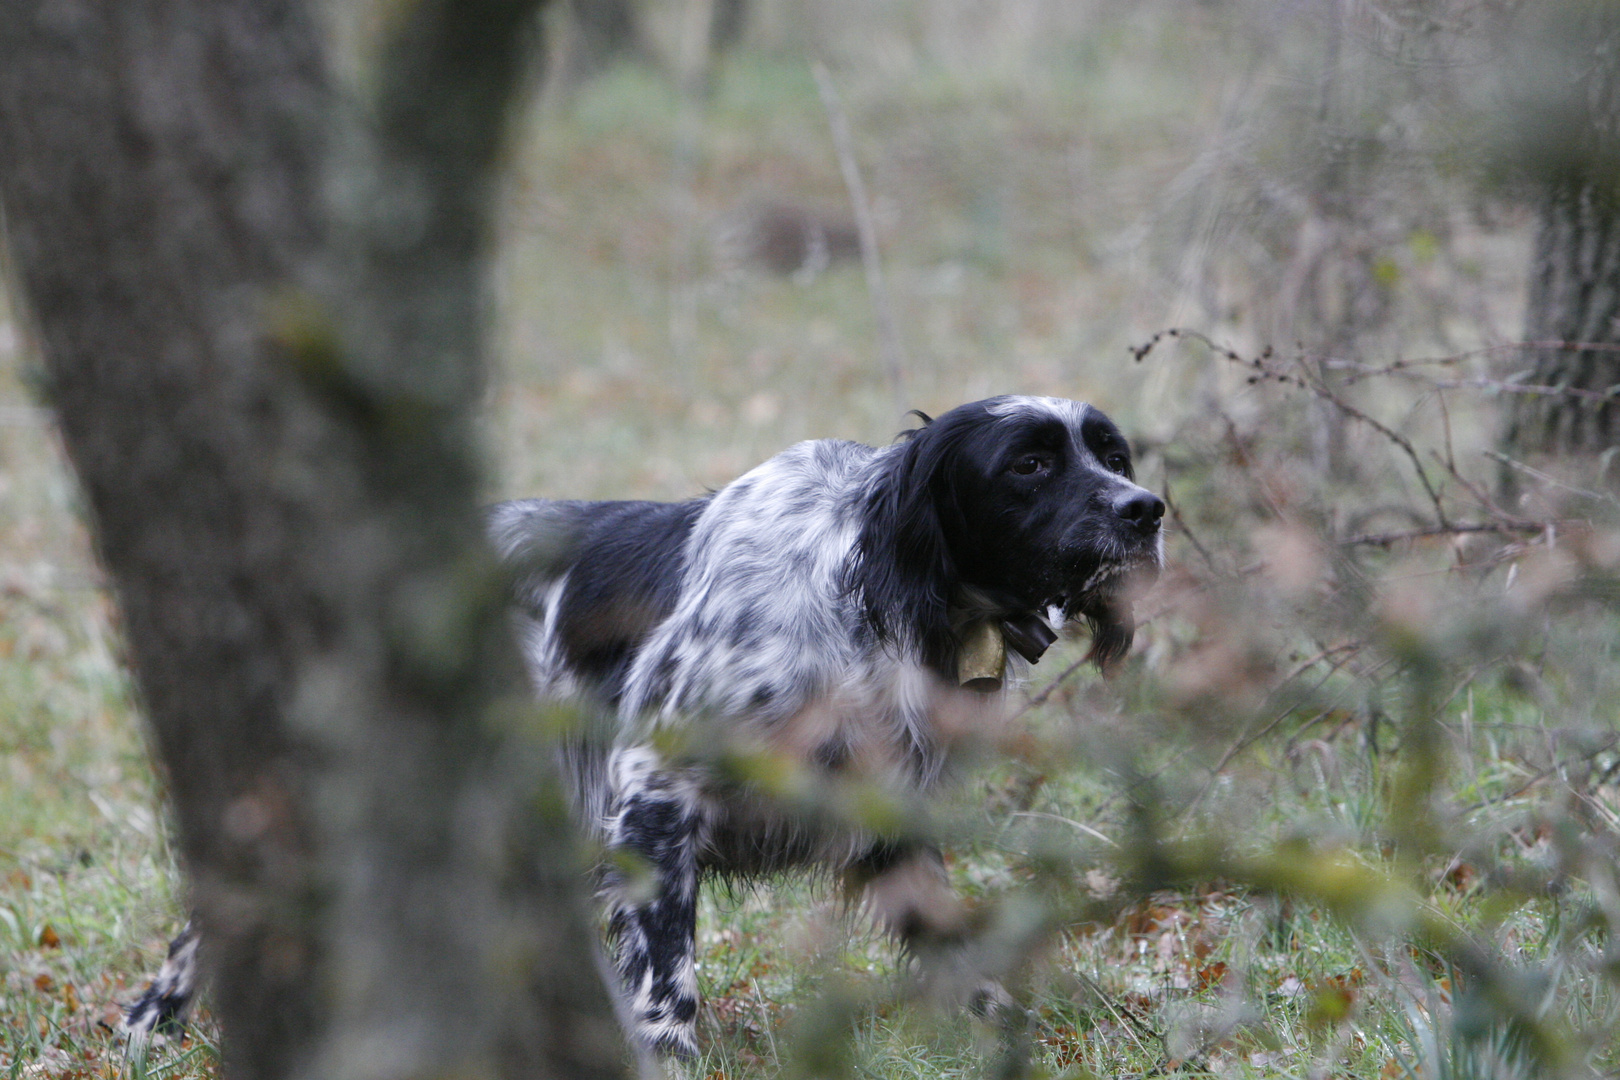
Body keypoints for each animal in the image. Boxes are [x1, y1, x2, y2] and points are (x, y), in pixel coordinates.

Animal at [126, 395, 1166, 1055]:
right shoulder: (656, 795)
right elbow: (669, 980)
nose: (1148, 510)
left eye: (1114, 456)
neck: (862, 600)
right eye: (1029, 464)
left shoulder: (887, 812)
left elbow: (959, 944)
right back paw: (149, 1022)